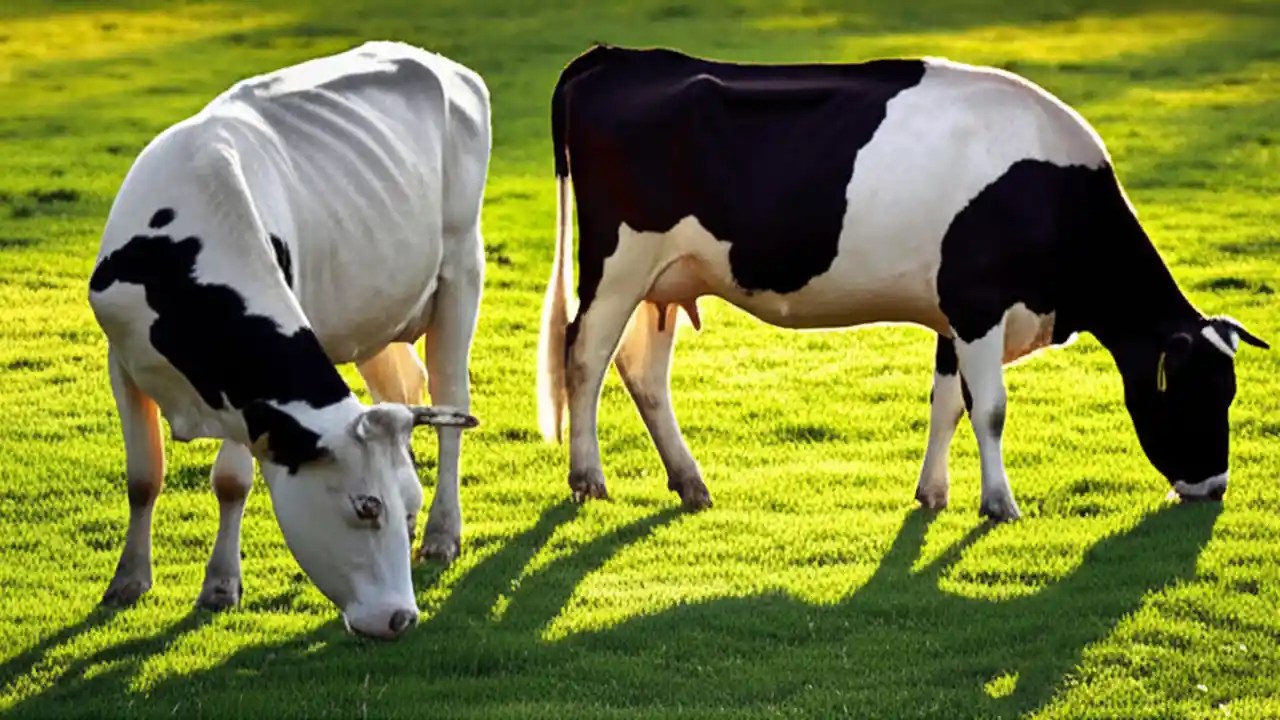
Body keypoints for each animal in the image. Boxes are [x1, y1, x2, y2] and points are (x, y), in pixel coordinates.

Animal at [87, 41, 490, 639]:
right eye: (369, 506)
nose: (402, 618)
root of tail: (436, 61)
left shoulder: (244, 397)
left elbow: (232, 480)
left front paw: (220, 584)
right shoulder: (121, 357)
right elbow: (143, 477)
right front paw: (128, 580)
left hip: (462, 265)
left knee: (451, 399)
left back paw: (442, 530)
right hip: (375, 309)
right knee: (404, 386)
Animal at [536, 44, 1268, 522]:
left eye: (1230, 392)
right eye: (1198, 394)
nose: (1214, 487)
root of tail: (613, 55)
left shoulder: (953, 314)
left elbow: (948, 404)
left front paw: (934, 495)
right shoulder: (978, 305)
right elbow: (991, 408)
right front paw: (1000, 503)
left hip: (663, 280)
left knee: (642, 372)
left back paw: (691, 484)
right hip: (618, 262)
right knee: (584, 355)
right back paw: (589, 479)